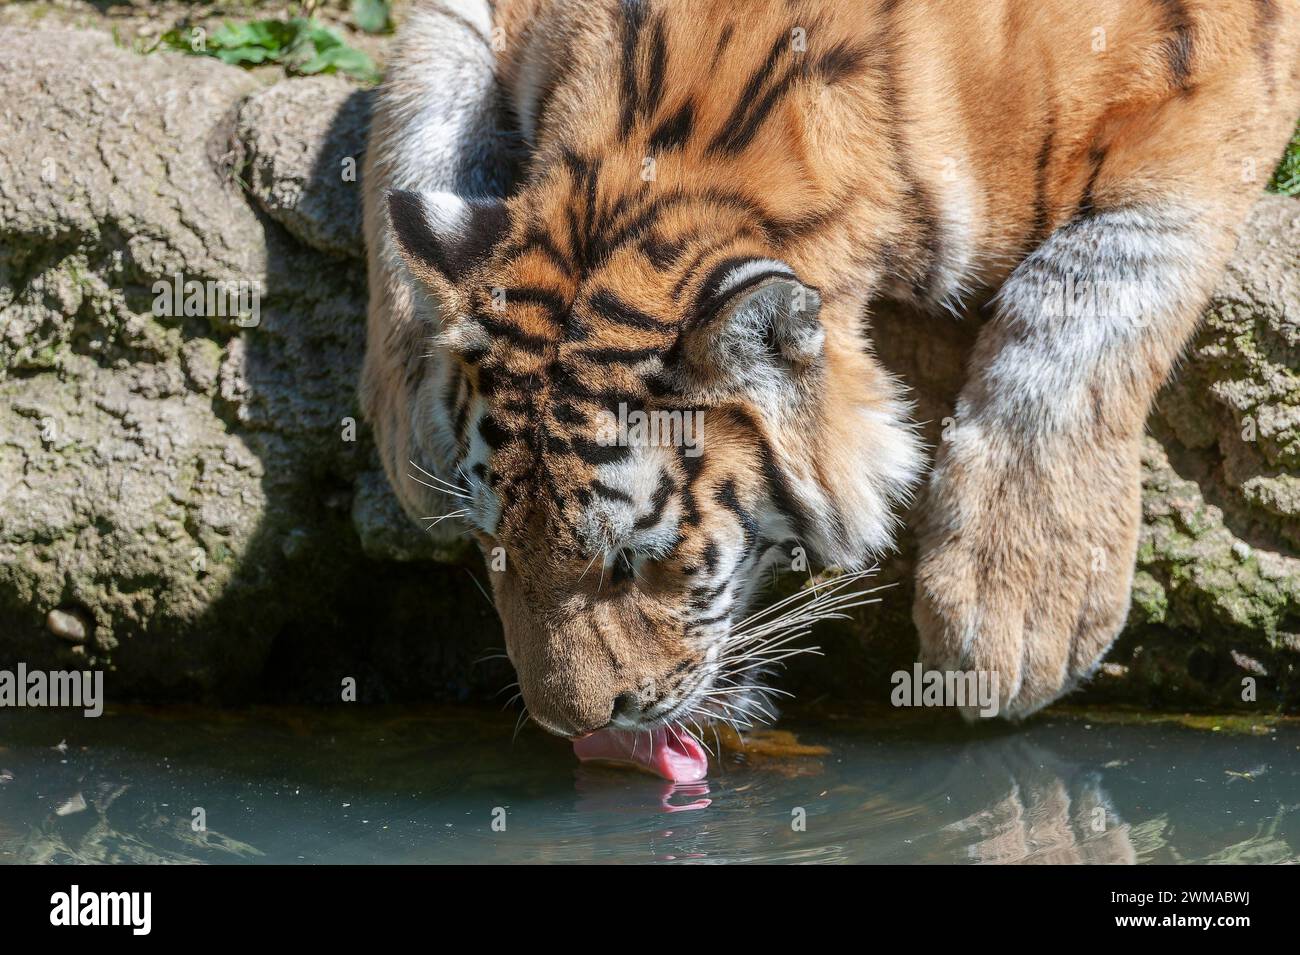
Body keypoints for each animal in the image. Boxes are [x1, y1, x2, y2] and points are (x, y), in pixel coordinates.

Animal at [361, 0, 1300, 765]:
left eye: (632, 560)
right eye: (493, 545)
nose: (572, 727)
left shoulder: (1211, 68)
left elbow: (1096, 278)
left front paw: (1015, 609)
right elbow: (407, 113)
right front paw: (416, 446)